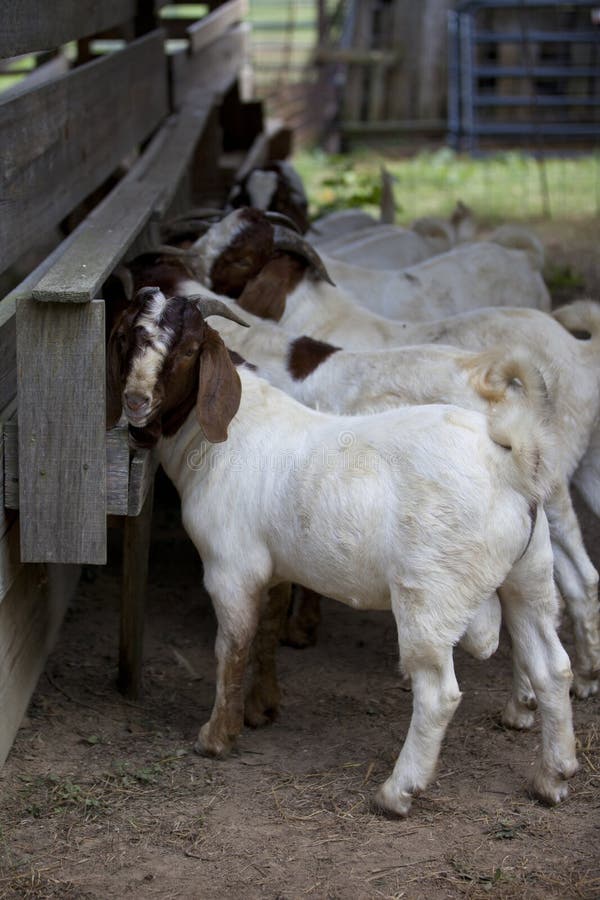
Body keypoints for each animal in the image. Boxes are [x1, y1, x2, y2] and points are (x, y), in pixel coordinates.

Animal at [107, 287, 578, 816]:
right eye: (125, 338)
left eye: (188, 350)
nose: (136, 401)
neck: (222, 438)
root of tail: (511, 461)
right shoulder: (276, 568)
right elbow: (267, 631)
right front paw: (261, 709)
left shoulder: (231, 568)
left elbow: (232, 646)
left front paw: (216, 737)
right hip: (530, 573)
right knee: (552, 666)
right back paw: (553, 777)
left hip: (430, 594)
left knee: (438, 692)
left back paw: (398, 791)